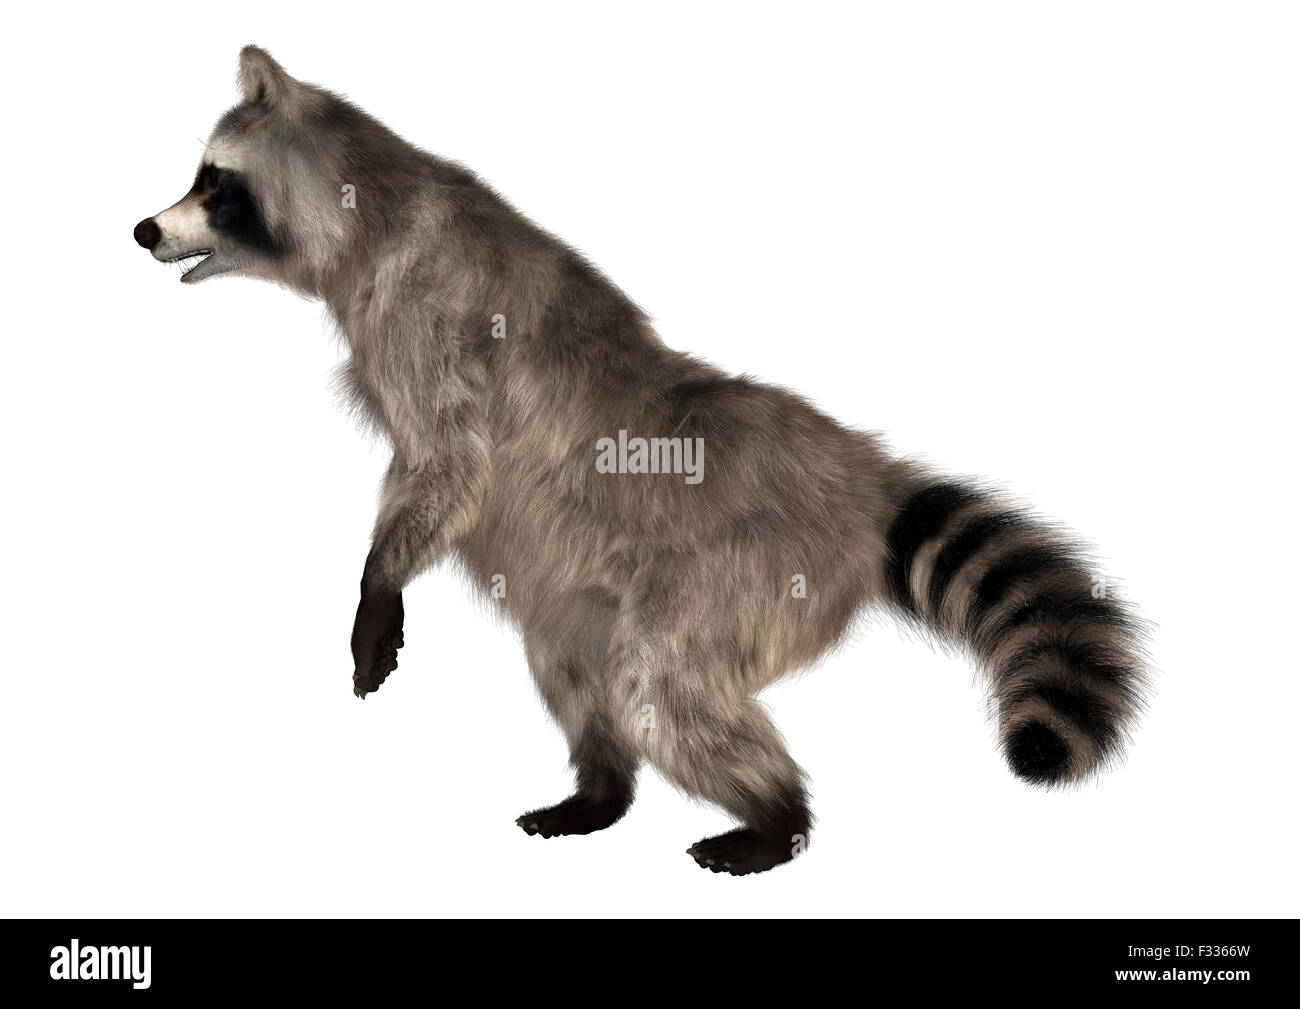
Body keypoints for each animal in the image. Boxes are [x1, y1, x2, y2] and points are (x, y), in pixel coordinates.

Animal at [135, 47, 1148, 875]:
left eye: (213, 183)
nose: (145, 229)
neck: (368, 206)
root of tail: (859, 480)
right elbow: (424, 475)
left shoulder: (429, 322)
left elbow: (450, 468)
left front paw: (377, 581)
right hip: (601, 583)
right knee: (576, 664)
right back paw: (602, 790)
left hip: (747, 567)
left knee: (661, 683)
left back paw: (777, 816)